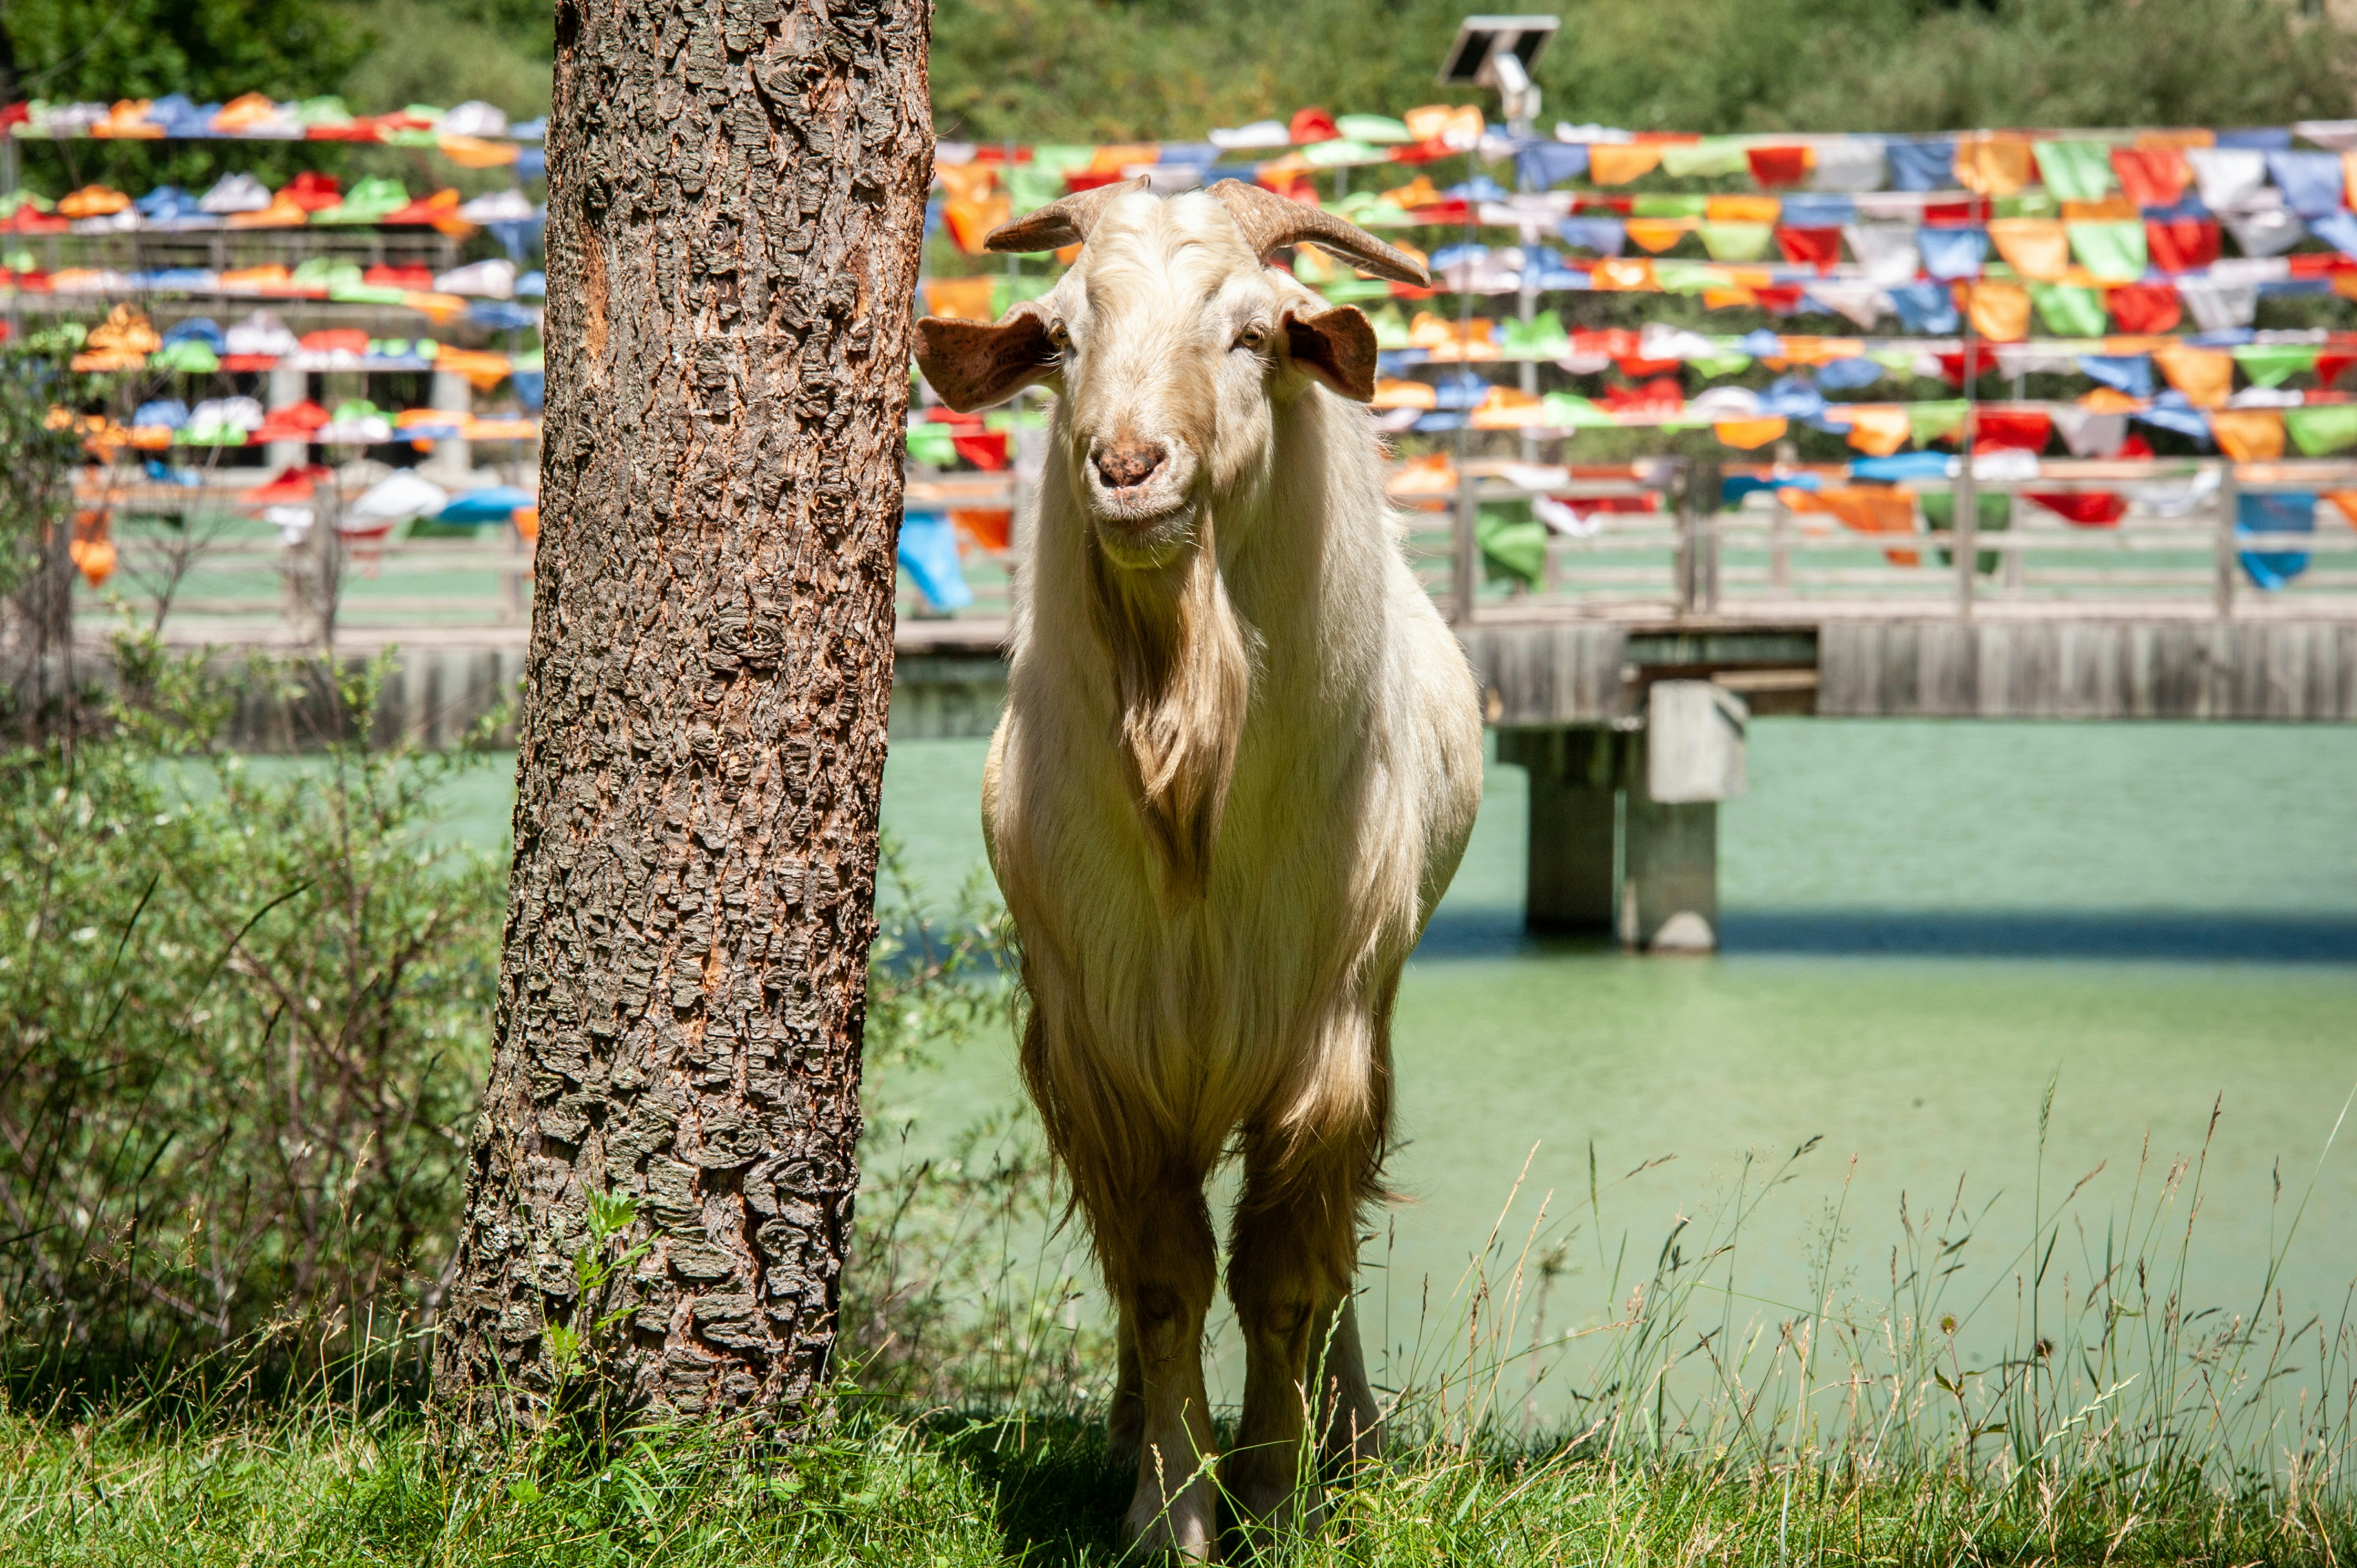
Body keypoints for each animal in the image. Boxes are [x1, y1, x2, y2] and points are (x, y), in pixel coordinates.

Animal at [915, 179, 1484, 1559]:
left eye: (1251, 333)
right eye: (1062, 336)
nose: (1127, 469)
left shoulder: (1324, 1030)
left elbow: (1284, 1277)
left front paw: (1277, 1495)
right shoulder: (1105, 1047)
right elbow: (1162, 1279)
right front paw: (1164, 1509)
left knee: (1336, 1250)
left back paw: (1349, 1436)